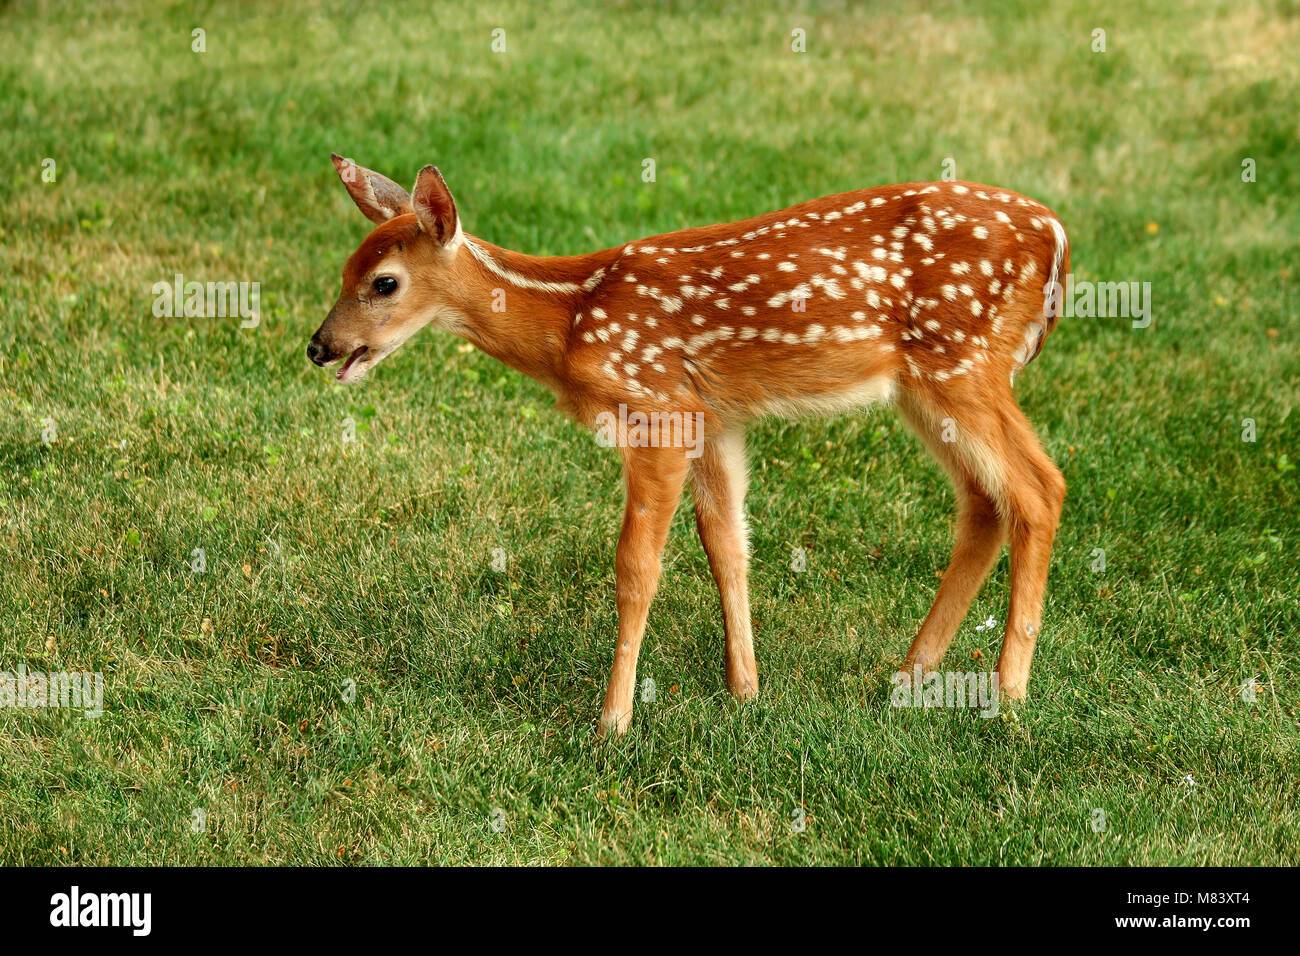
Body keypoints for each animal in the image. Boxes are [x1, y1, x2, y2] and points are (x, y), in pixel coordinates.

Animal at [308, 154, 1069, 736]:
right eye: (344, 271)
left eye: (384, 283)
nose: (320, 346)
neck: (568, 319)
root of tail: (1057, 237)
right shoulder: (714, 418)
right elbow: (727, 544)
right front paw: (746, 692)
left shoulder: (657, 409)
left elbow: (636, 566)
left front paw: (612, 722)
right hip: (928, 384)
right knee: (985, 501)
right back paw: (907, 678)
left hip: (961, 359)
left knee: (1039, 487)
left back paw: (1008, 696)